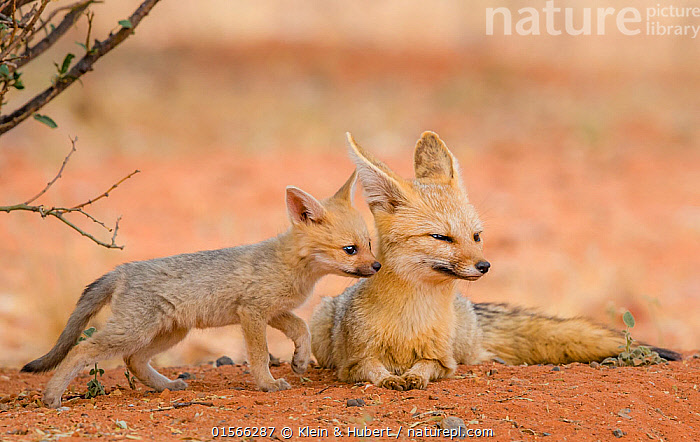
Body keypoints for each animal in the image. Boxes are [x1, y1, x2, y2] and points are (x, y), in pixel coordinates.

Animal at [22, 171, 381, 408]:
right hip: (134, 332)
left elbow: (302, 328)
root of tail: (123, 269)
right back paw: (52, 396)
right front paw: (267, 384)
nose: (377, 266)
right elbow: (260, 355)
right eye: (350, 250)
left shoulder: (273, 310)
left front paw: (300, 361)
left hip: (169, 333)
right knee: (83, 350)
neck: (290, 265)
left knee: (133, 361)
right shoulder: (252, 312)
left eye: (369, 244)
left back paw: (167, 386)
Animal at [310, 131, 681, 391]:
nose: (484, 266)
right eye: (441, 237)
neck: (410, 320)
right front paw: (391, 378)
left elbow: (427, 367)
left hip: (465, 348)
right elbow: (373, 370)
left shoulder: (444, 362)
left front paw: (413, 376)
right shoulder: (354, 362)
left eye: (476, 236)